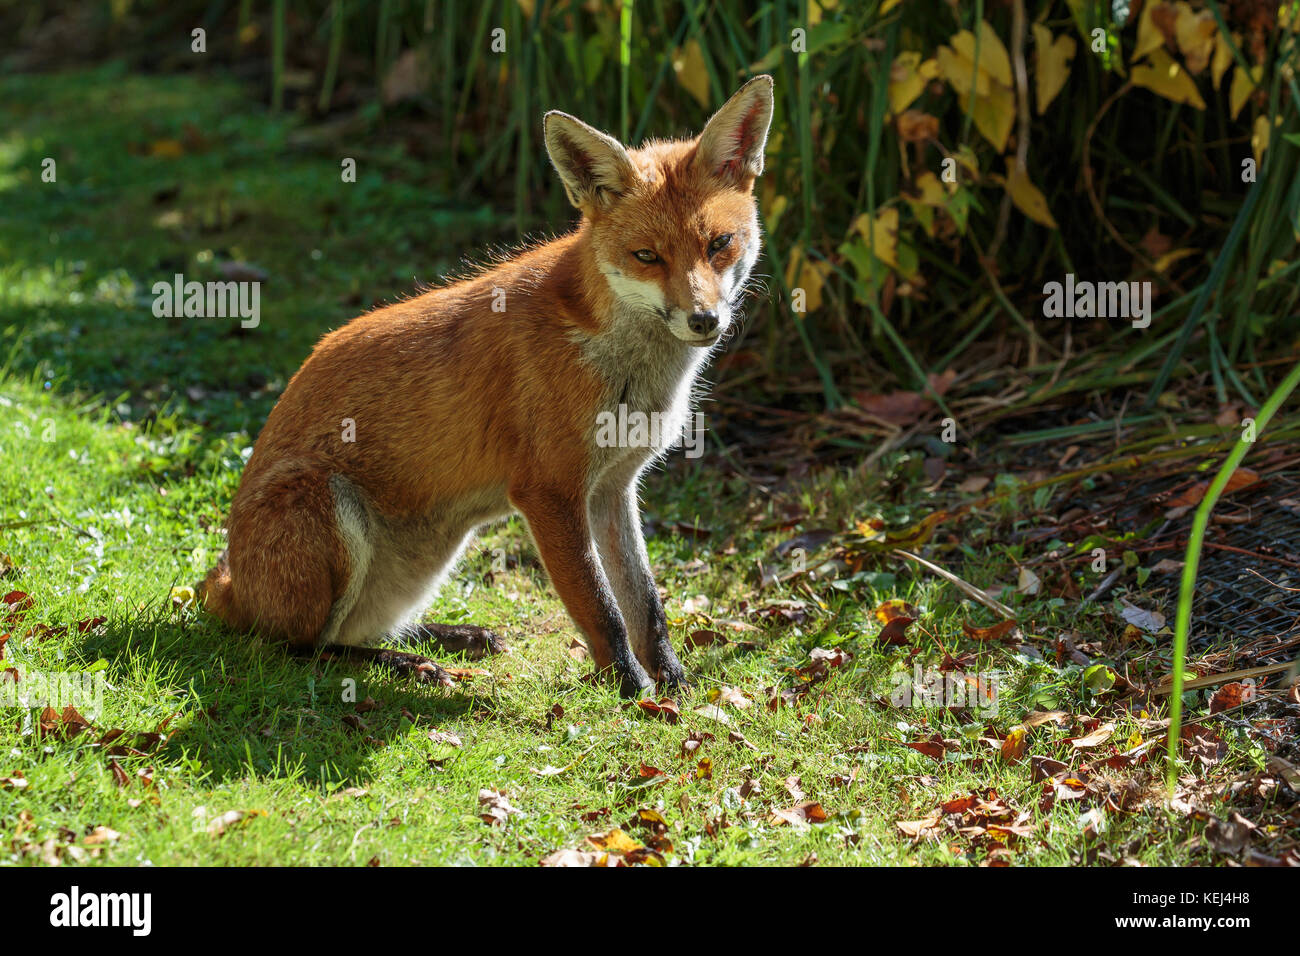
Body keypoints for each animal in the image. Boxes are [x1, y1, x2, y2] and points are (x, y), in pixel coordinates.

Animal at [198, 75, 774, 697]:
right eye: (647, 256)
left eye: (719, 244)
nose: (704, 321)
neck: (624, 366)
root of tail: (228, 586)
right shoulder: (548, 491)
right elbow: (602, 609)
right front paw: (633, 690)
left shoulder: (613, 487)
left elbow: (646, 604)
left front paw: (672, 683)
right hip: (329, 509)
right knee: (300, 648)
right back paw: (403, 664)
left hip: (430, 555)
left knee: (357, 629)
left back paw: (449, 637)